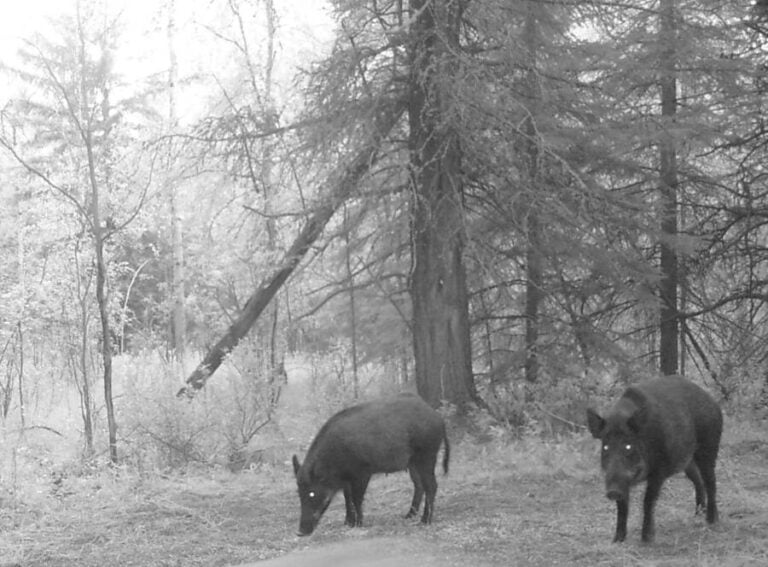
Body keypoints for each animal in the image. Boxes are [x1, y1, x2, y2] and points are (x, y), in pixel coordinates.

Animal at [291, 392, 450, 536]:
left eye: (312, 493)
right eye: (298, 492)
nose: (300, 532)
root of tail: (438, 417)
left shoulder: (362, 473)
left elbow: (356, 498)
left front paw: (358, 524)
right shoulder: (347, 479)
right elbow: (347, 498)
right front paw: (348, 523)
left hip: (427, 455)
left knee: (431, 485)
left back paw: (424, 521)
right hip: (412, 463)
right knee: (419, 485)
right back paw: (408, 516)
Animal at [586, 375, 722, 543]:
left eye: (628, 446)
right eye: (605, 447)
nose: (612, 491)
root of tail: (712, 400)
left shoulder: (659, 470)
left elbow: (648, 500)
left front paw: (647, 539)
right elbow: (622, 507)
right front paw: (617, 540)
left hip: (709, 447)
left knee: (711, 481)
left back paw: (711, 521)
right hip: (687, 461)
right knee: (698, 480)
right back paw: (698, 514)